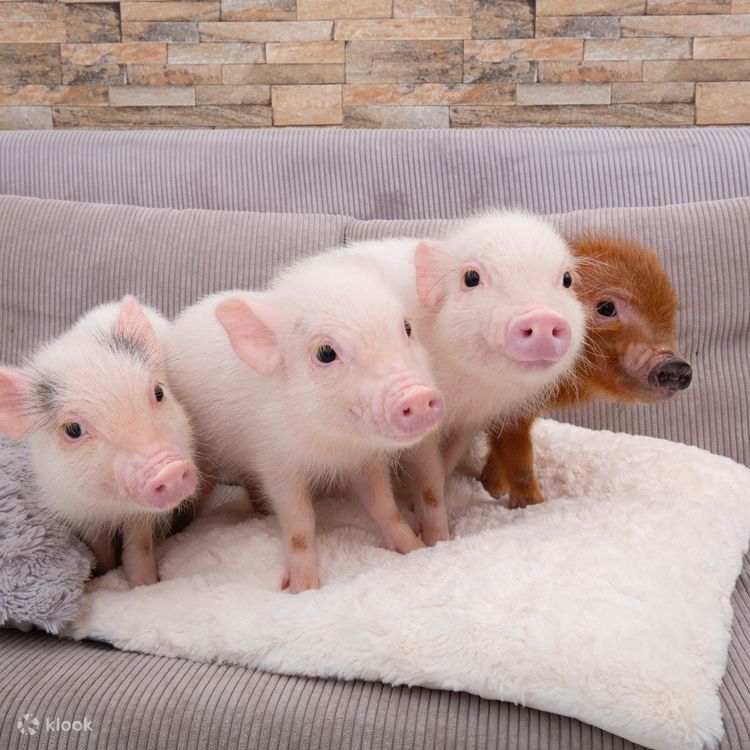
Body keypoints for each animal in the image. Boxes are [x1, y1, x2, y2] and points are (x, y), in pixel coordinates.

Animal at [0, 296, 199, 587]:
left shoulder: (141, 515)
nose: (169, 469)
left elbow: (139, 546)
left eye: (158, 392)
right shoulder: (77, 509)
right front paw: (101, 575)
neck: (111, 506)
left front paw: (145, 585)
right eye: (73, 429)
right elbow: (98, 546)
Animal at [165, 252, 445, 594]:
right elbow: (299, 524)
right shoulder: (277, 462)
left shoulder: (366, 461)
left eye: (406, 328)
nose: (417, 395)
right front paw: (302, 589)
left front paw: (417, 548)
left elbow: (384, 505)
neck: (334, 448)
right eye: (325, 353)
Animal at [343, 211, 587, 545]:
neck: (470, 389)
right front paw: (436, 540)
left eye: (566, 279)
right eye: (471, 277)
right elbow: (430, 482)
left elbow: (447, 464)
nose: (542, 317)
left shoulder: (470, 421)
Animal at [480, 235, 692, 508]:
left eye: (671, 310)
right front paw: (534, 505)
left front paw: (490, 488)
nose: (676, 365)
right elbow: (520, 460)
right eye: (606, 307)